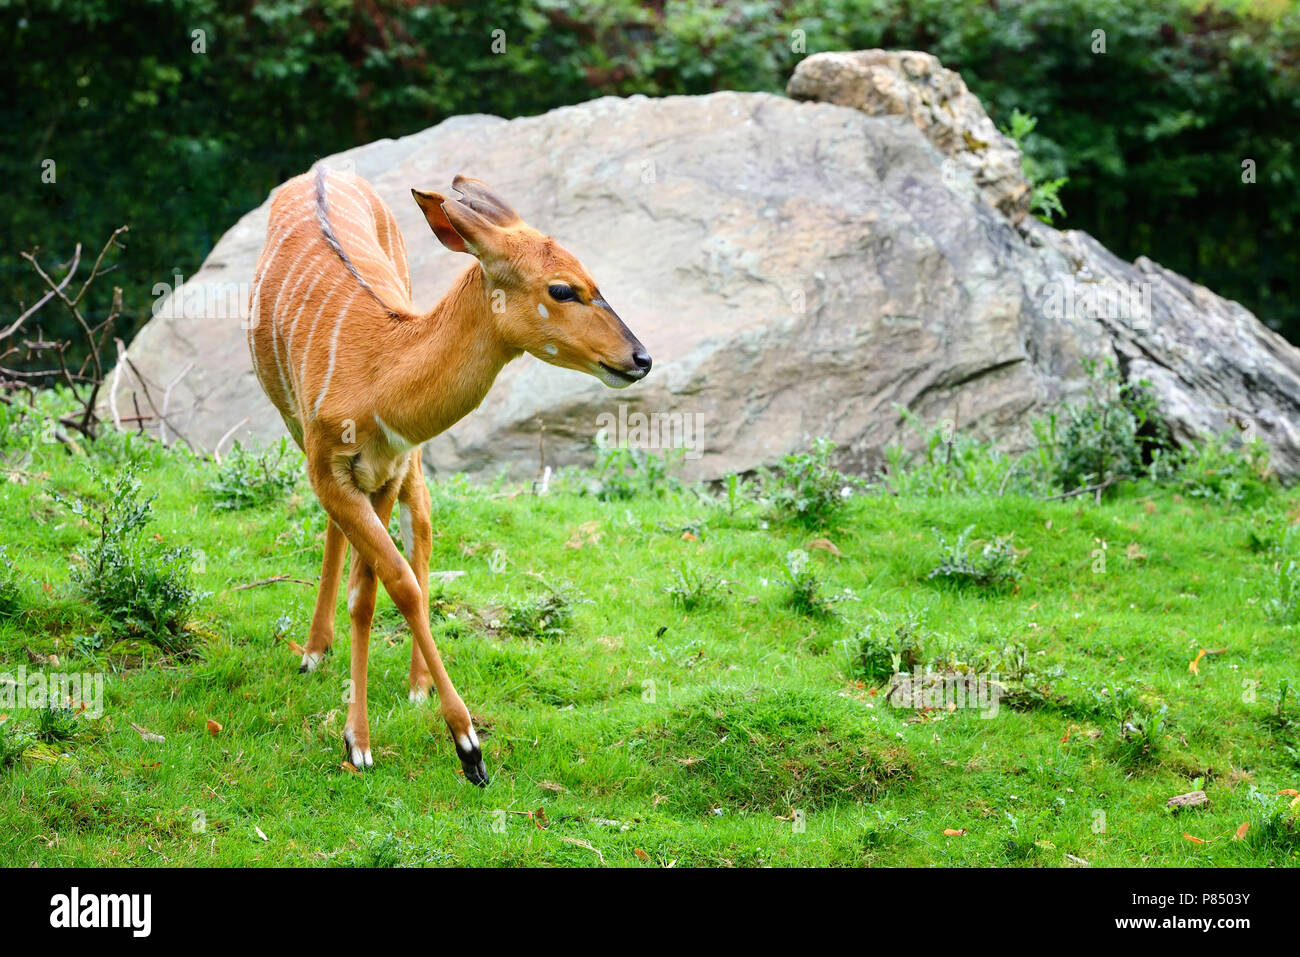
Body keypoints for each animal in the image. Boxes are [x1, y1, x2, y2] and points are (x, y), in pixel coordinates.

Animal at [247, 167, 651, 785]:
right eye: (563, 289)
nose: (640, 358)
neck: (376, 373)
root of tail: (323, 169)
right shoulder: (331, 469)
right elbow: (390, 586)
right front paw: (448, 746)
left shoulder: (384, 471)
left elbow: (377, 589)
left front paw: (403, 735)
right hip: (306, 438)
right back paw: (314, 652)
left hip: (403, 468)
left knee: (423, 523)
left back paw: (408, 683)